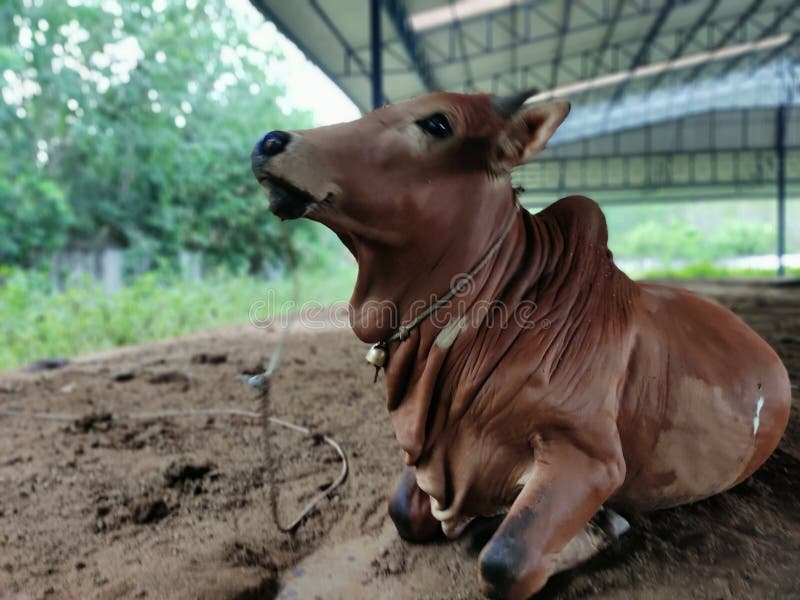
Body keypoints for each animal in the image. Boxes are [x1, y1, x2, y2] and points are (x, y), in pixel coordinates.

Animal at [250, 90, 791, 599]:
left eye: (438, 123)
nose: (270, 141)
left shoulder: (591, 458)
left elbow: (504, 561)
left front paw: (604, 530)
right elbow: (403, 510)